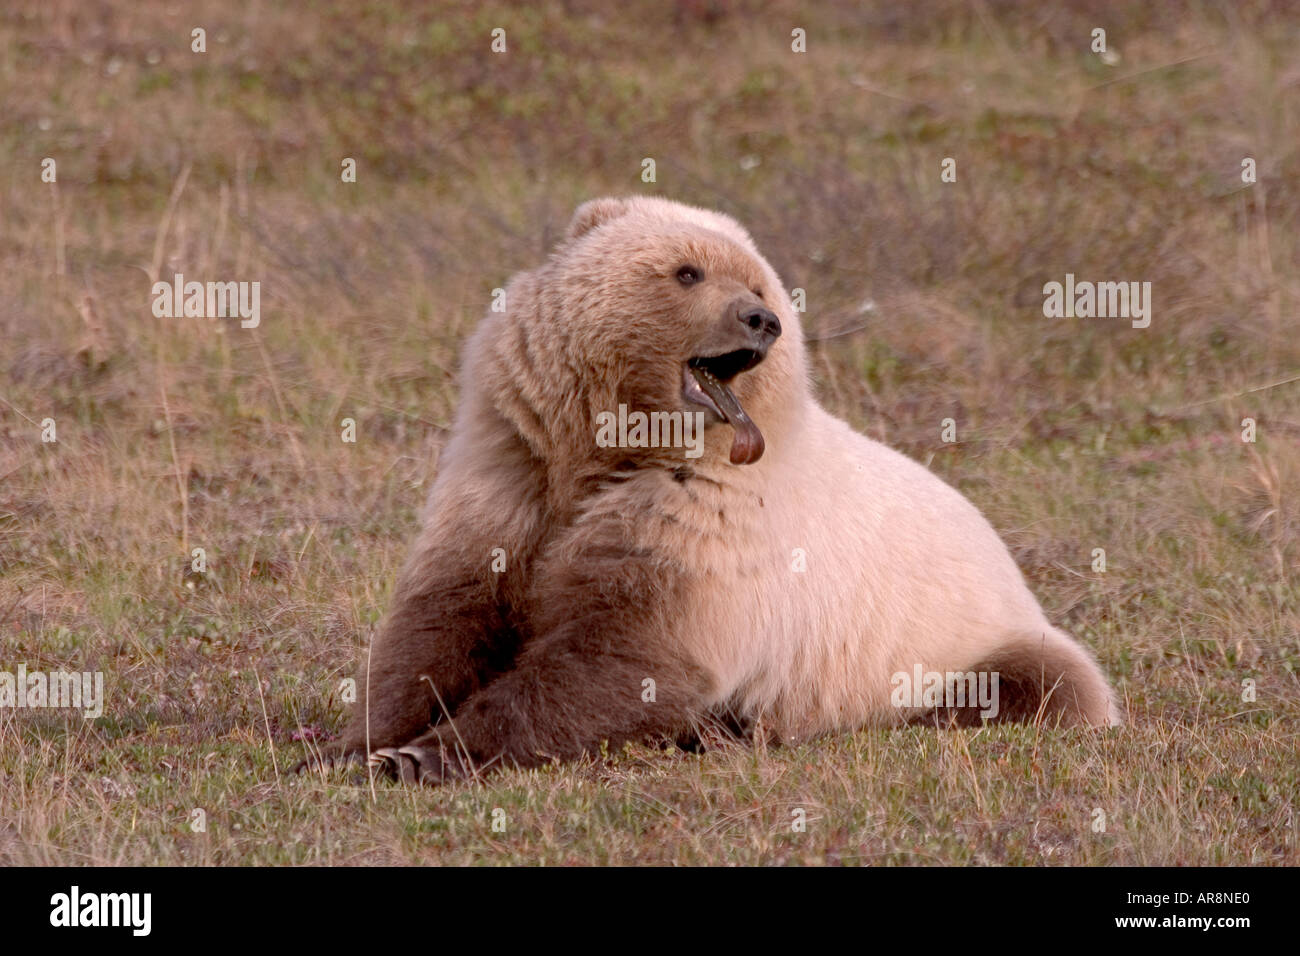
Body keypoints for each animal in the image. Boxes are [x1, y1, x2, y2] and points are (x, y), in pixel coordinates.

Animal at [302, 196, 1121, 785]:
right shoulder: (512, 475)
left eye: (757, 283)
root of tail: (999, 543)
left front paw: (424, 756)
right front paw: (359, 743)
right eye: (687, 272)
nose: (761, 320)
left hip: (972, 641)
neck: (606, 451)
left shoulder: (704, 517)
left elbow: (624, 653)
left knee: (1045, 687)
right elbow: (442, 616)